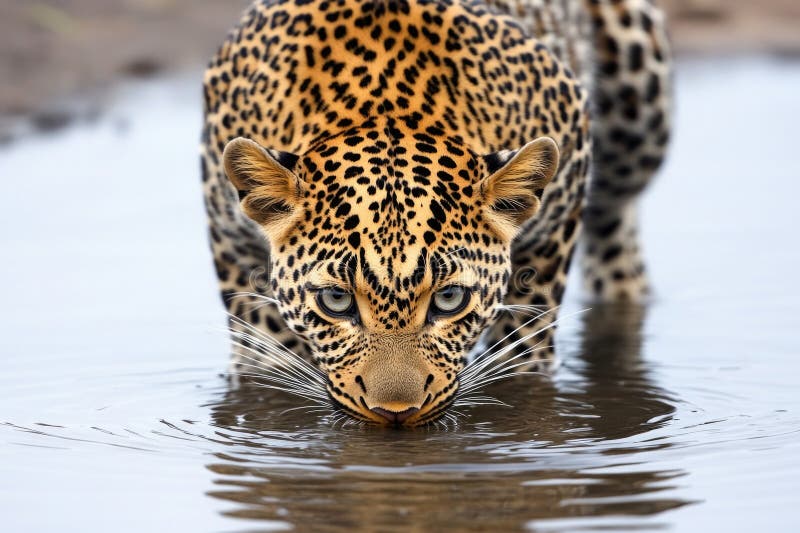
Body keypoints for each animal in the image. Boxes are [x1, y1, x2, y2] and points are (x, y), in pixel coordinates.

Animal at [201, 0, 672, 426]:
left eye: (449, 300)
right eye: (336, 301)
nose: (395, 414)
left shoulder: (558, 210)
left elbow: (524, 342)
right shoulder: (234, 243)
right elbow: (266, 352)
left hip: (641, 107)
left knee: (614, 212)